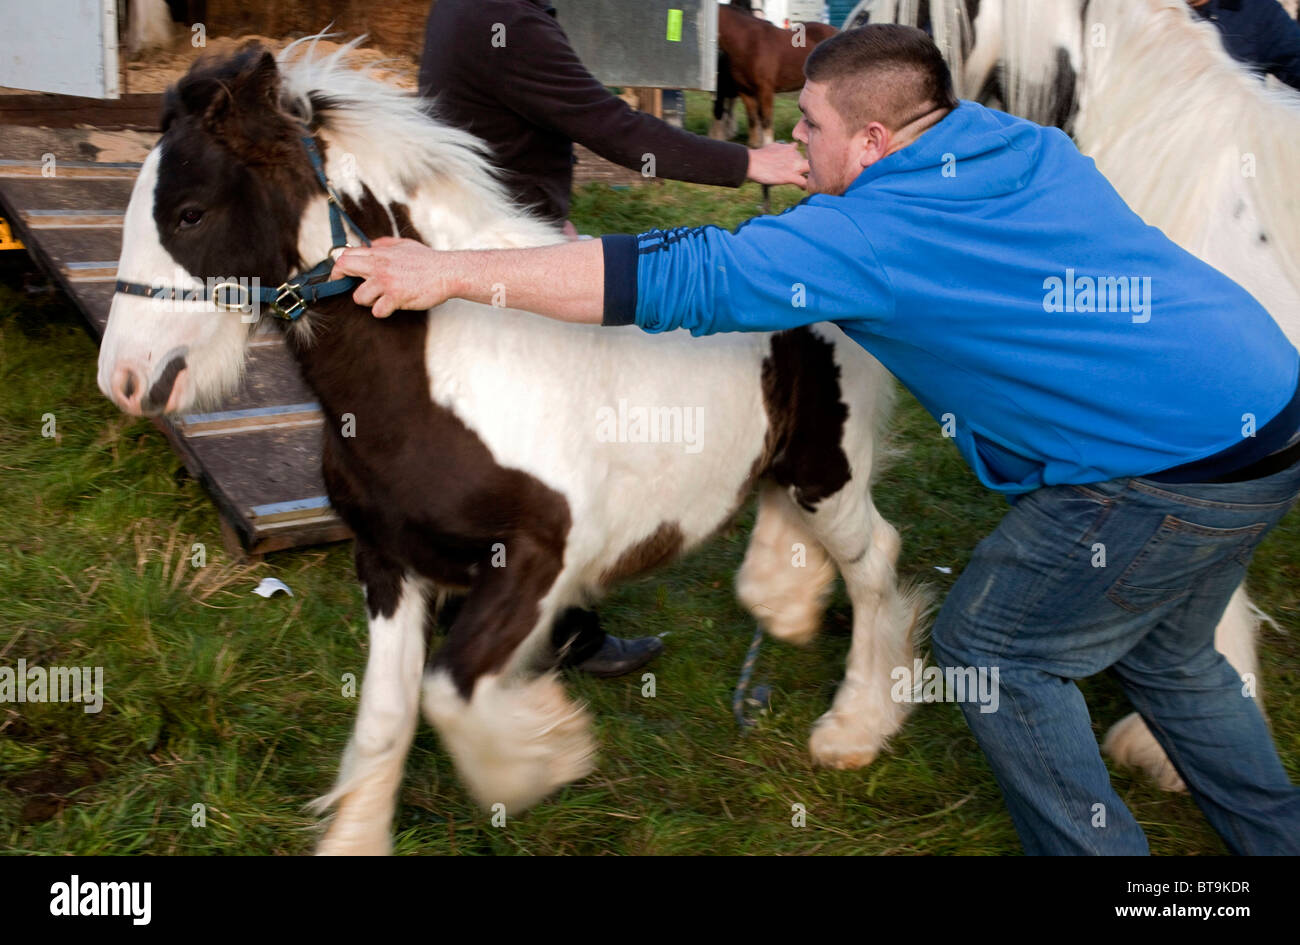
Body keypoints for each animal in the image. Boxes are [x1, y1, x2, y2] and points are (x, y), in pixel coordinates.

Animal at [94, 38, 927, 854]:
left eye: (191, 212)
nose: (125, 379)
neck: (444, 370)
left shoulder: (537, 557)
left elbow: (448, 690)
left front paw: (546, 752)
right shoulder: (389, 560)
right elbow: (388, 714)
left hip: (829, 467)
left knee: (875, 560)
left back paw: (854, 727)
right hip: (785, 466)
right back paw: (786, 608)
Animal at [713, 4, 839, 148]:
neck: (748, 42)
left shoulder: (765, 89)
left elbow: (766, 119)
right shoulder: (745, 91)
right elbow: (753, 118)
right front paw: (754, 146)